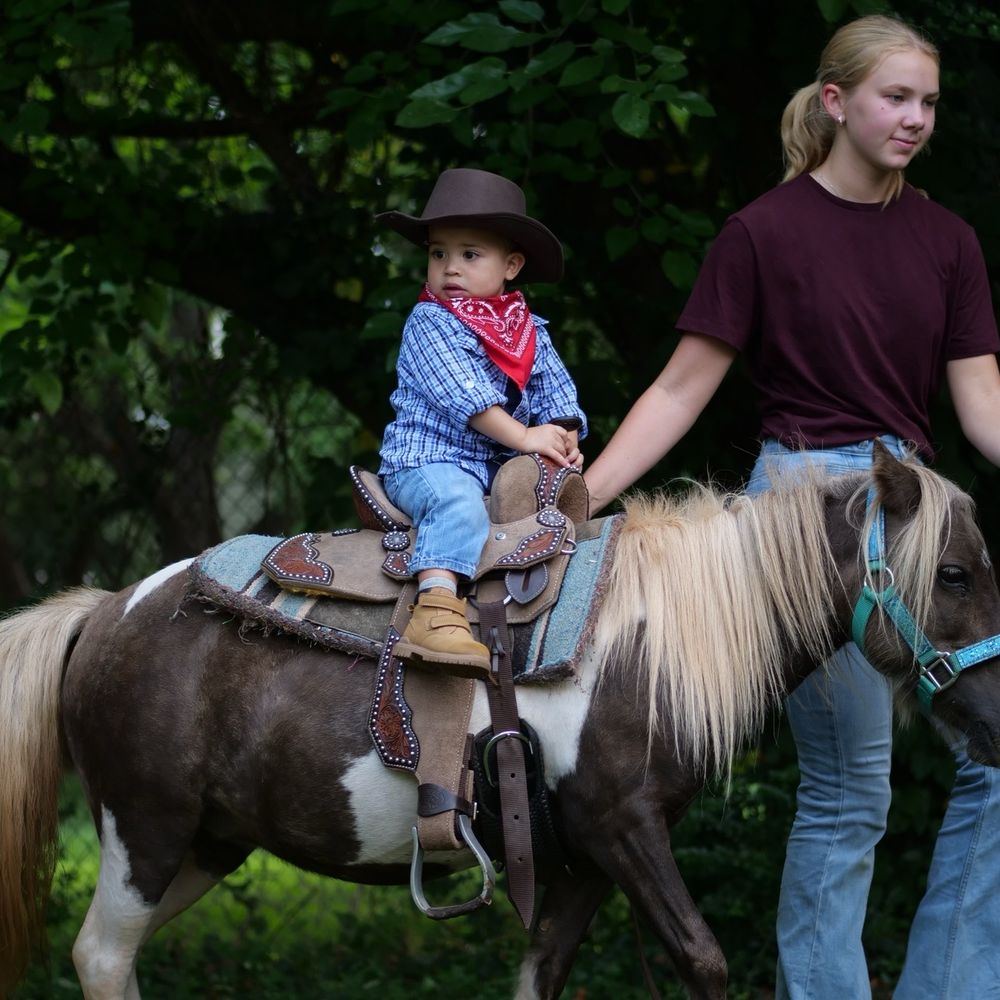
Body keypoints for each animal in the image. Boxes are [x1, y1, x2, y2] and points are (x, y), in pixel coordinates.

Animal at [3, 444, 1000, 1000]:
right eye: (953, 575)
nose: (996, 720)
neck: (650, 642)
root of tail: (104, 611)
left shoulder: (586, 859)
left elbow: (540, 975)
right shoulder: (625, 830)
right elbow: (705, 961)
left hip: (208, 844)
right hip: (145, 830)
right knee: (101, 956)